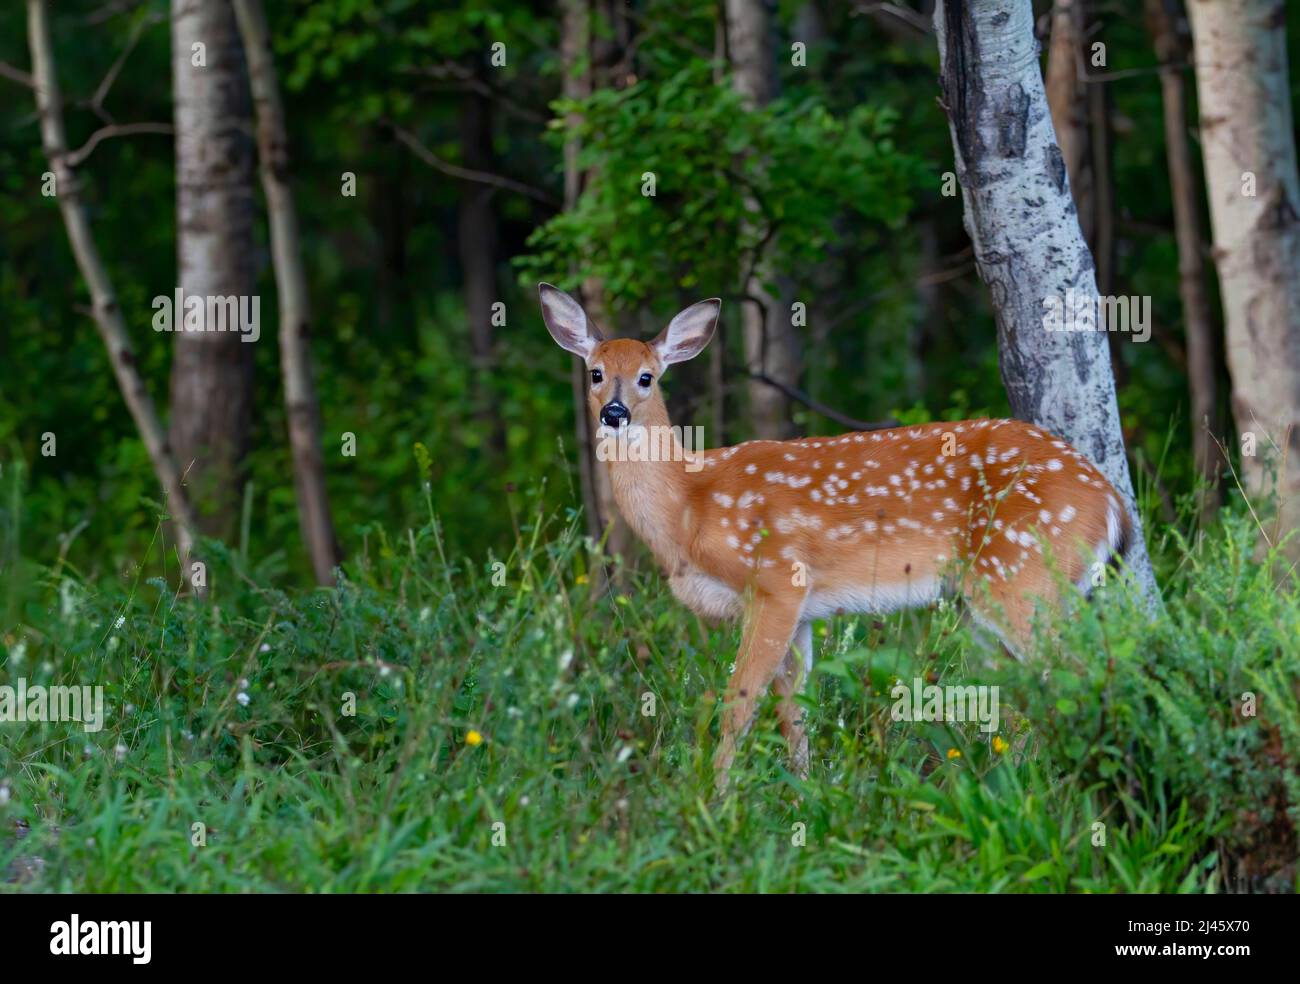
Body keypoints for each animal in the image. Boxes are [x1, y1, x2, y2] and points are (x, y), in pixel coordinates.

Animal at [538, 283, 1132, 791]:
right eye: (595, 372)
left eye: (647, 377)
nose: (614, 413)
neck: (689, 509)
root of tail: (1111, 501)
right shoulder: (801, 611)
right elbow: (793, 712)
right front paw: (804, 793)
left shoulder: (778, 580)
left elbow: (738, 702)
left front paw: (715, 799)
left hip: (1023, 578)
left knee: (1077, 674)